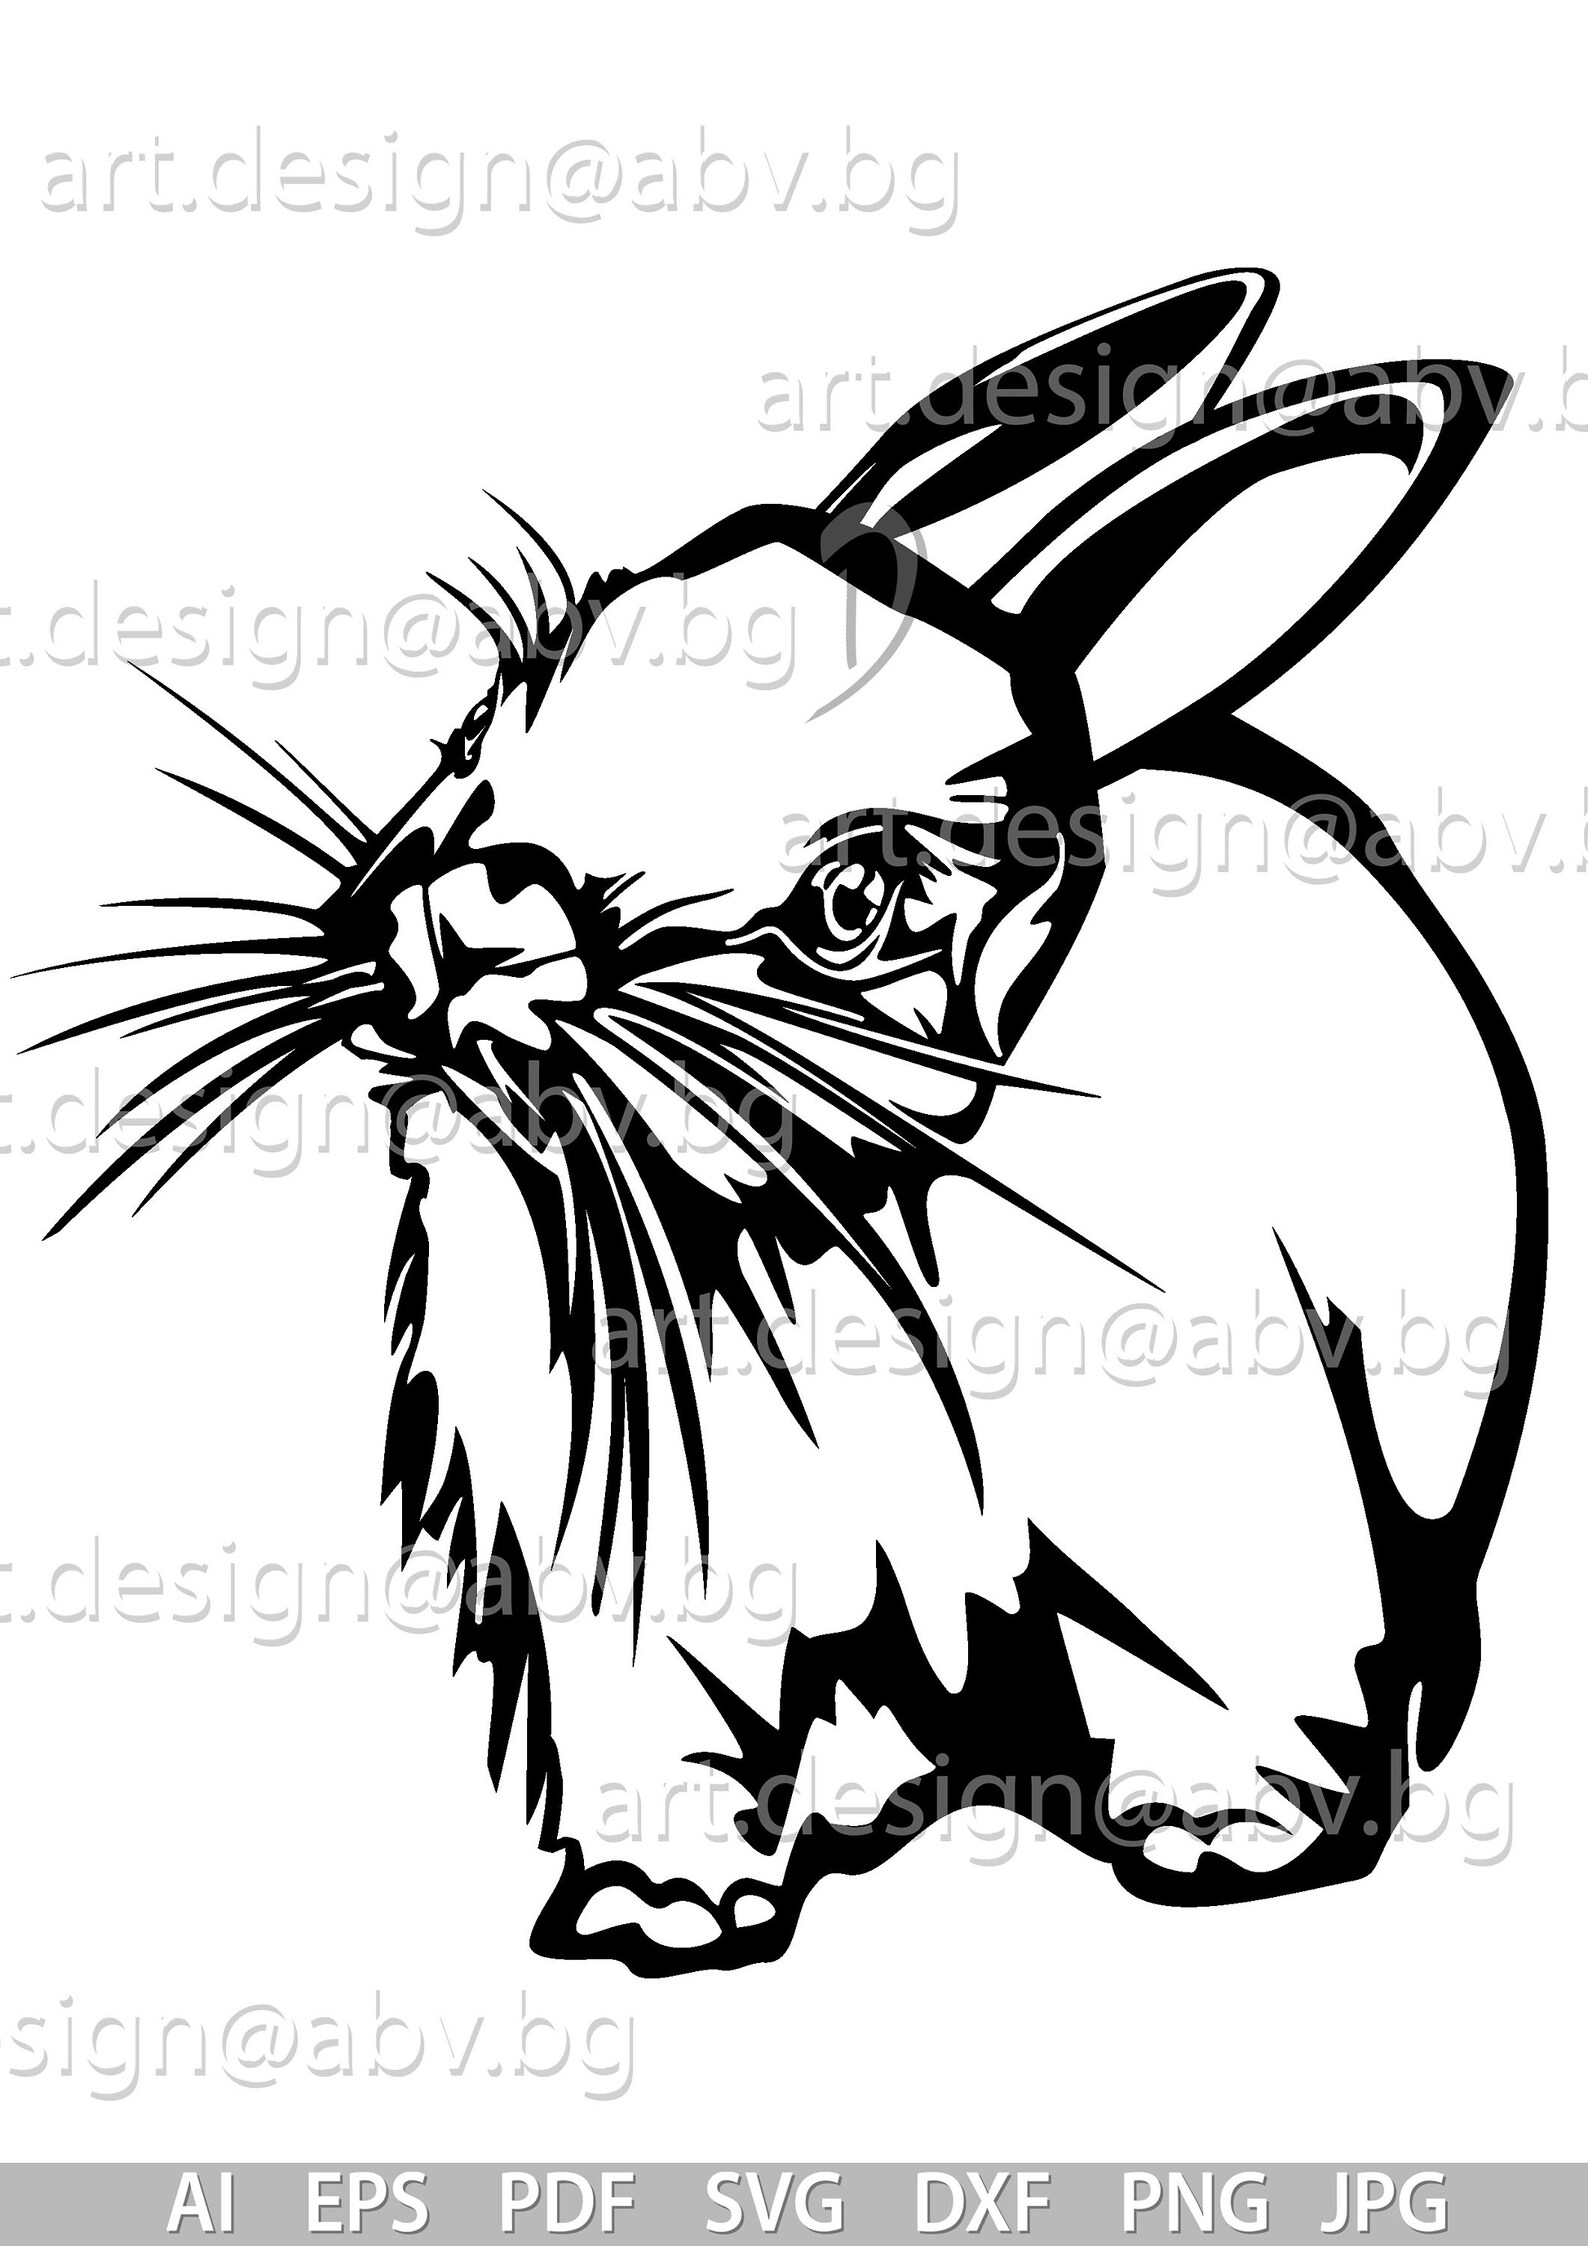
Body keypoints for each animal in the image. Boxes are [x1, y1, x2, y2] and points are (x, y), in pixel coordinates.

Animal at [37, 268, 1545, 1975]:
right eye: (475, 727)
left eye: (854, 907)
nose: (467, 918)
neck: (796, 1213)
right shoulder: (634, 1578)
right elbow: (672, 1732)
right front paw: (658, 1908)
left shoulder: (1214, 1506)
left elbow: (1214, 1667)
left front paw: (1225, 1838)